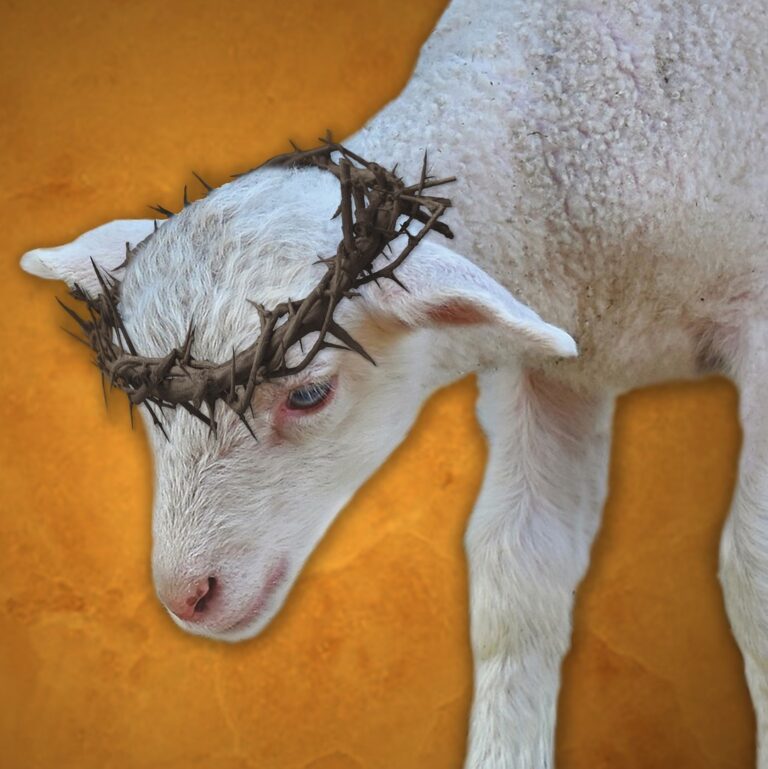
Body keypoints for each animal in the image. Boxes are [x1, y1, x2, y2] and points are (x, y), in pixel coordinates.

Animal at [19, 0, 768, 766]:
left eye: (309, 393)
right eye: (147, 411)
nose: (186, 595)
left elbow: (753, 572)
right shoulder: (557, 365)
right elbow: (517, 575)